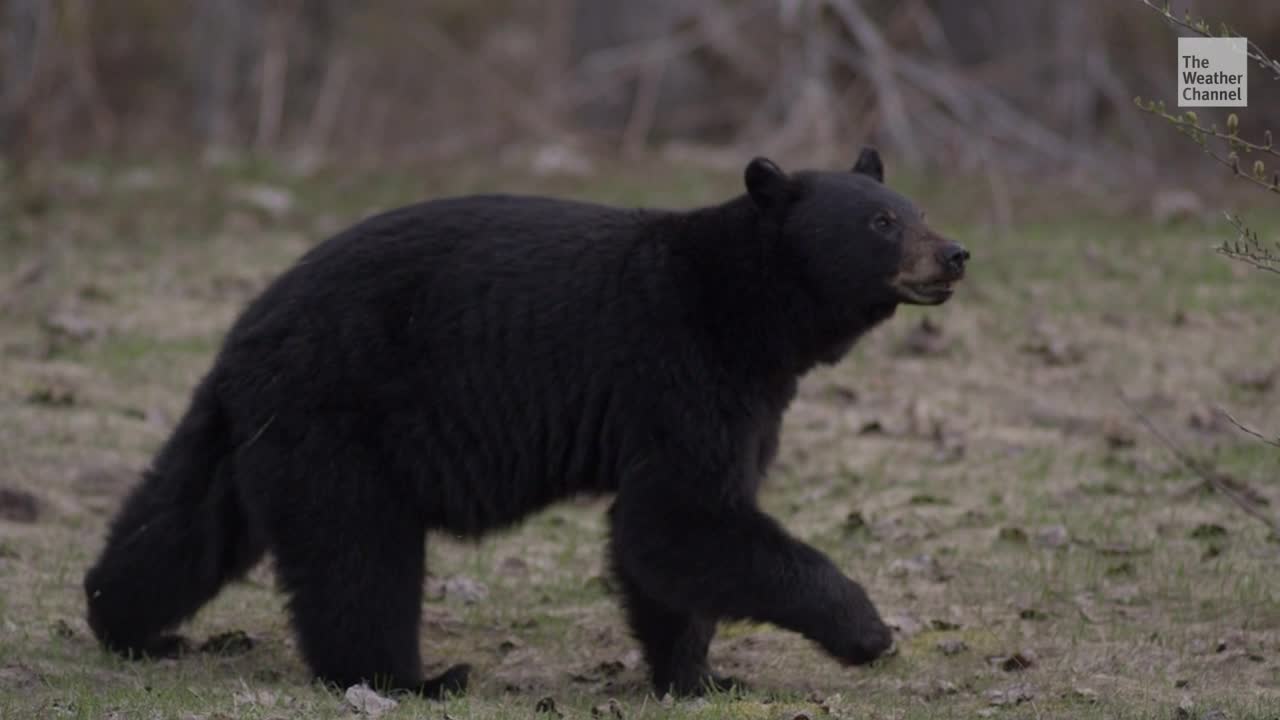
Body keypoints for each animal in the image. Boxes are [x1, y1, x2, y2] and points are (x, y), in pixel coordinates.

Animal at [83, 148, 968, 698]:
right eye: (882, 223)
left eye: (917, 207)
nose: (954, 253)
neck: (745, 308)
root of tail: (248, 328)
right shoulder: (675, 366)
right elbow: (678, 520)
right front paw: (866, 629)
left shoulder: (745, 398)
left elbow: (668, 542)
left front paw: (700, 676)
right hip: (340, 422)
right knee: (357, 560)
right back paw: (415, 679)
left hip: (255, 431)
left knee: (184, 524)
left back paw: (124, 623)